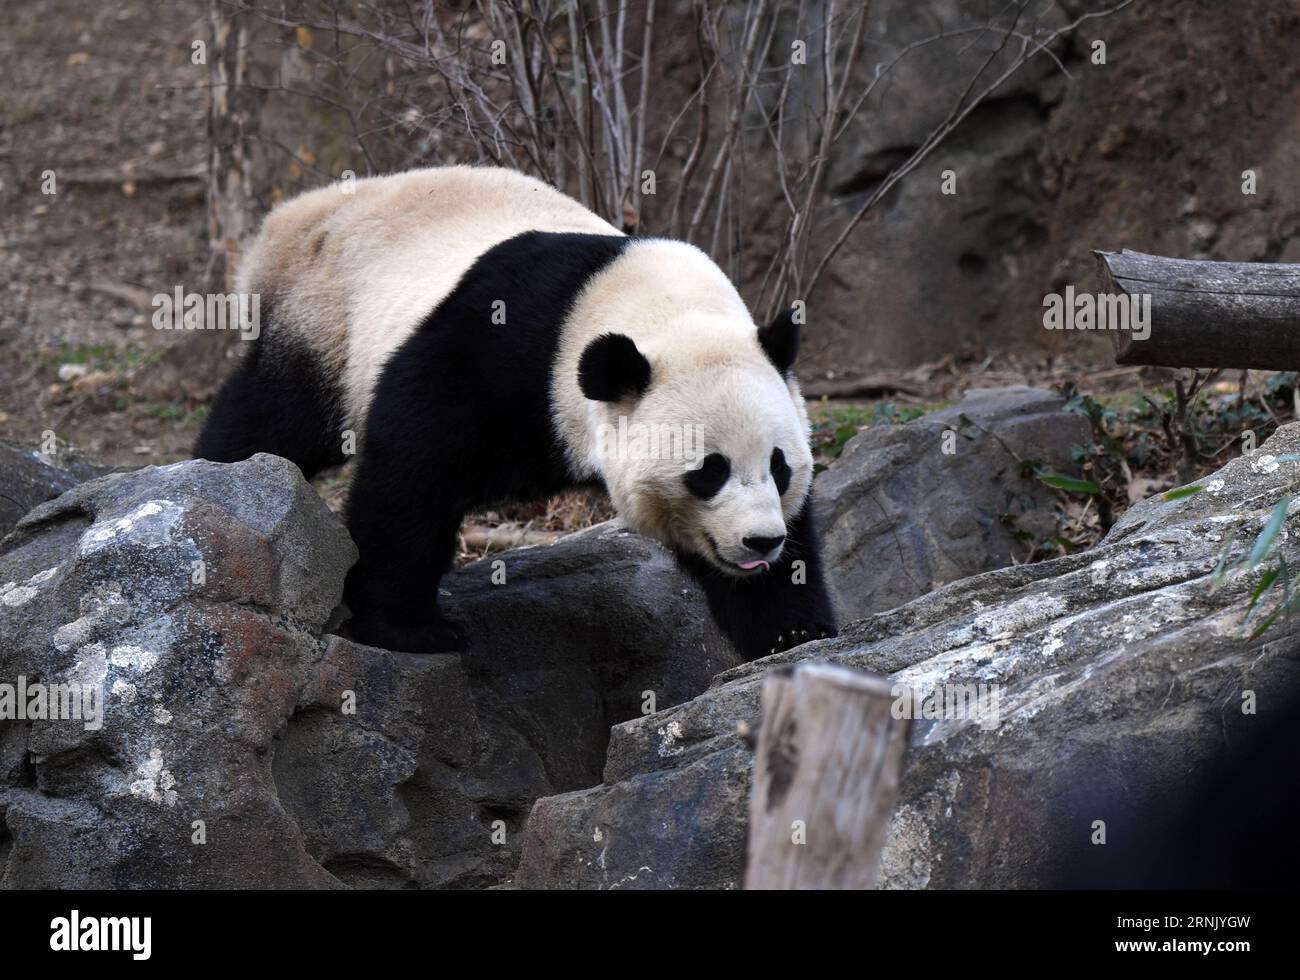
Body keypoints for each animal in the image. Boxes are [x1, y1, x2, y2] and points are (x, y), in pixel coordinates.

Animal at [195, 166, 837, 659]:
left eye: (779, 467)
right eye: (708, 471)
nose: (760, 542)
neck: (661, 310)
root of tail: (291, 220)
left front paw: (793, 635)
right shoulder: (501, 346)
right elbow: (413, 467)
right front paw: (409, 629)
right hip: (327, 316)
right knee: (277, 416)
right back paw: (220, 473)